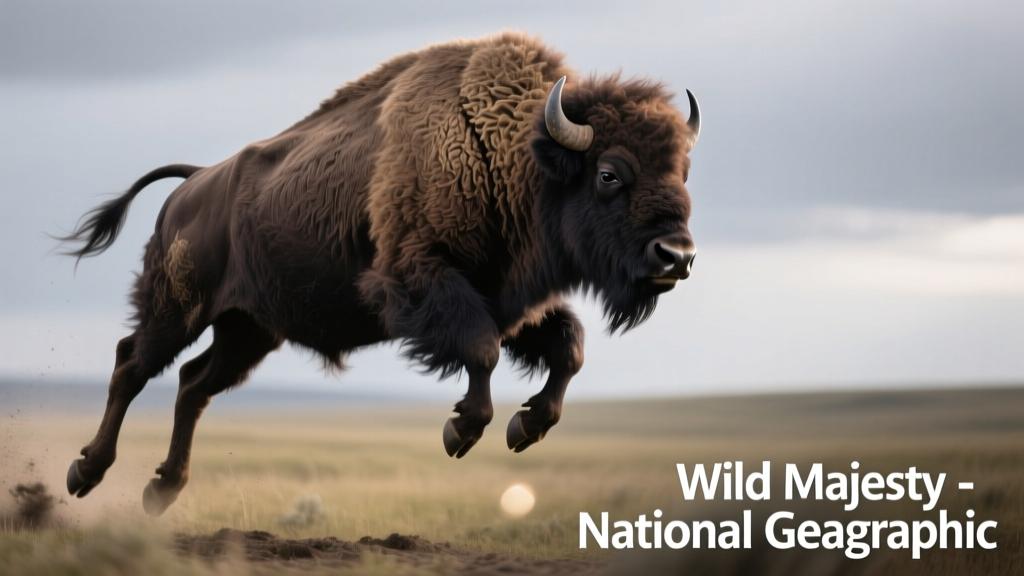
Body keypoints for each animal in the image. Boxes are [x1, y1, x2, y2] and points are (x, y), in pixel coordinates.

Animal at [61, 32, 700, 515]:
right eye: (609, 173)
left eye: (683, 170)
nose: (677, 256)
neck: (510, 156)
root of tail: (193, 183)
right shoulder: (425, 282)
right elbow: (482, 349)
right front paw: (462, 431)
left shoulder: (512, 303)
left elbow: (569, 347)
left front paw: (525, 428)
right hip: (179, 310)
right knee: (132, 365)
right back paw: (84, 473)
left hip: (248, 329)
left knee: (194, 384)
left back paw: (162, 490)